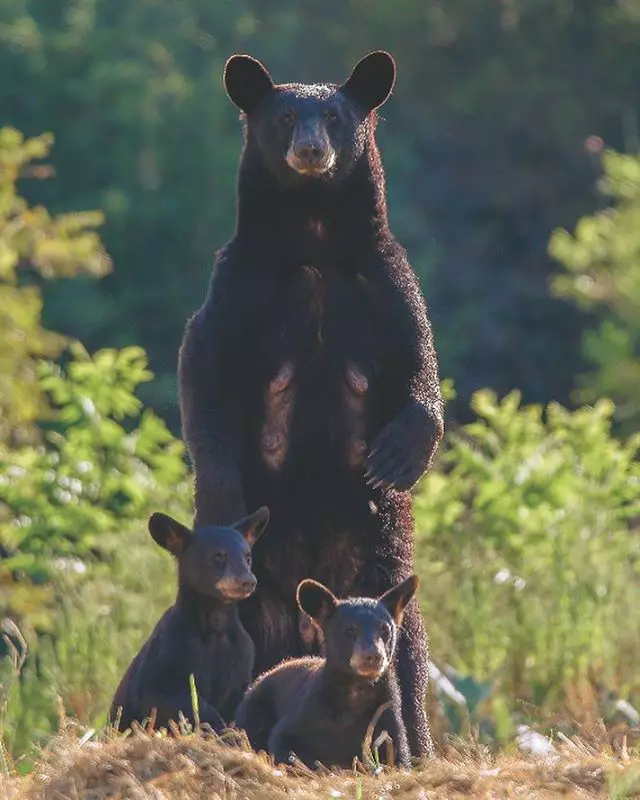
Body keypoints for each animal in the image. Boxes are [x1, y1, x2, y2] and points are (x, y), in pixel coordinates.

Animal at [178, 50, 442, 756]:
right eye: (285, 117)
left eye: (335, 117)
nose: (311, 150)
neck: (314, 236)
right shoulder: (237, 286)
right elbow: (203, 371)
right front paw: (221, 483)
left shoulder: (389, 283)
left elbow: (421, 366)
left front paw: (395, 456)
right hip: (243, 594)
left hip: (382, 564)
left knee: (410, 655)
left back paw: (419, 747)